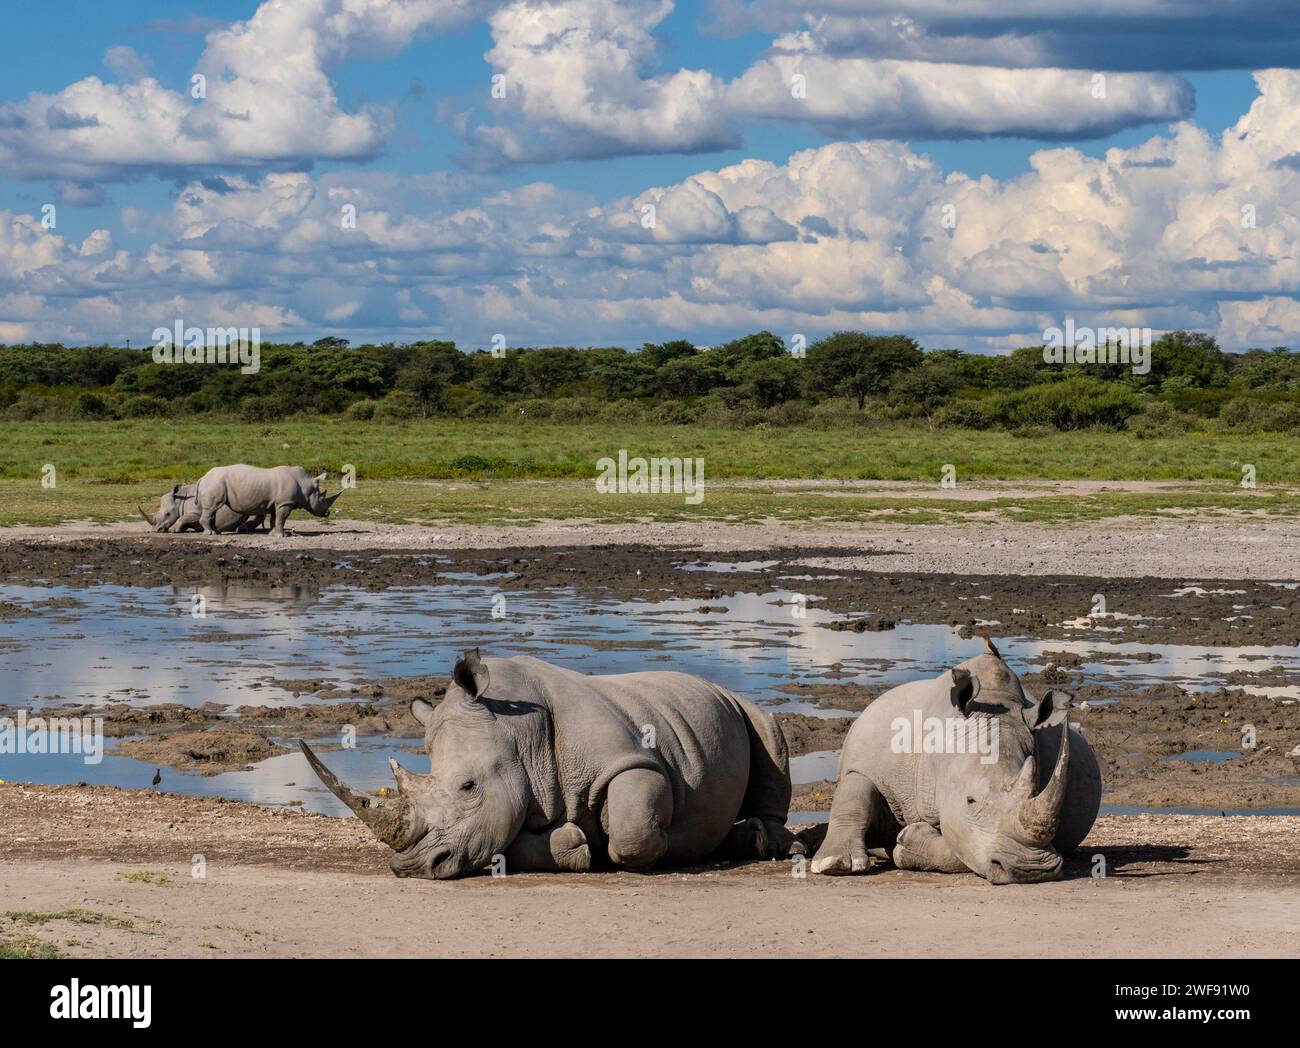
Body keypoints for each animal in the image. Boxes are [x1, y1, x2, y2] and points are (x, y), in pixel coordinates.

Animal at [193, 464, 340, 536]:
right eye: (322, 499)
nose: (327, 513)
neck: (305, 484)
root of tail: (202, 477)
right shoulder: (285, 502)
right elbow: (282, 518)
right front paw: (281, 536)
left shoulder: (278, 503)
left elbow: (275, 519)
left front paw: (273, 533)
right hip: (214, 483)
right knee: (212, 508)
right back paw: (211, 533)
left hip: (215, 482)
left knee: (213, 509)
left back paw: (215, 532)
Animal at [301, 650, 802, 878]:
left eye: (468, 787)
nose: (410, 868)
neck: (520, 735)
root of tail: (712, 684)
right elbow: (512, 841)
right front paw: (576, 844)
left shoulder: (631, 761)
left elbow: (633, 830)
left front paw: (669, 846)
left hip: (738, 705)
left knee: (767, 732)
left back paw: (772, 846)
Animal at [811, 638, 1101, 884]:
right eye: (970, 801)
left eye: (1036, 790)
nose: (1032, 870)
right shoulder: (875, 764)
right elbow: (854, 792)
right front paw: (835, 863)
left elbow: (962, 848)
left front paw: (907, 843)